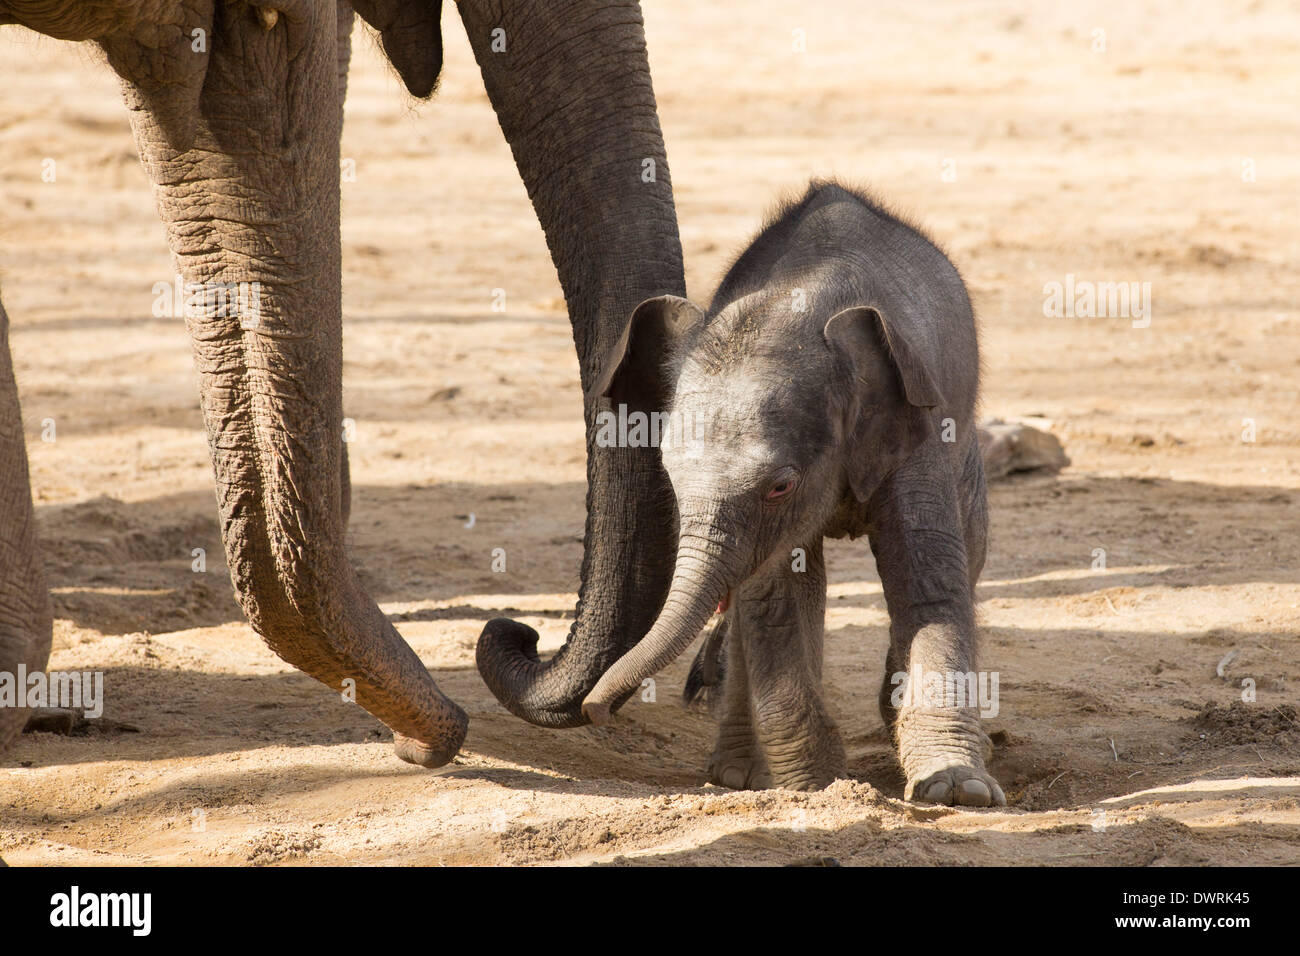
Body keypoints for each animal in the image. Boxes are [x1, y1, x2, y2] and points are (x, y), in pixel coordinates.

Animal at [578, 181, 1007, 806]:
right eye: (671, 478)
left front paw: (957, 792)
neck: (794, 308)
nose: (594, 709)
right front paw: (817, 788)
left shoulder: (915, 430)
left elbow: (926, 579)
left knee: (970, 548)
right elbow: (775, 595)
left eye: (780, 485)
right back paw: (739, 775)